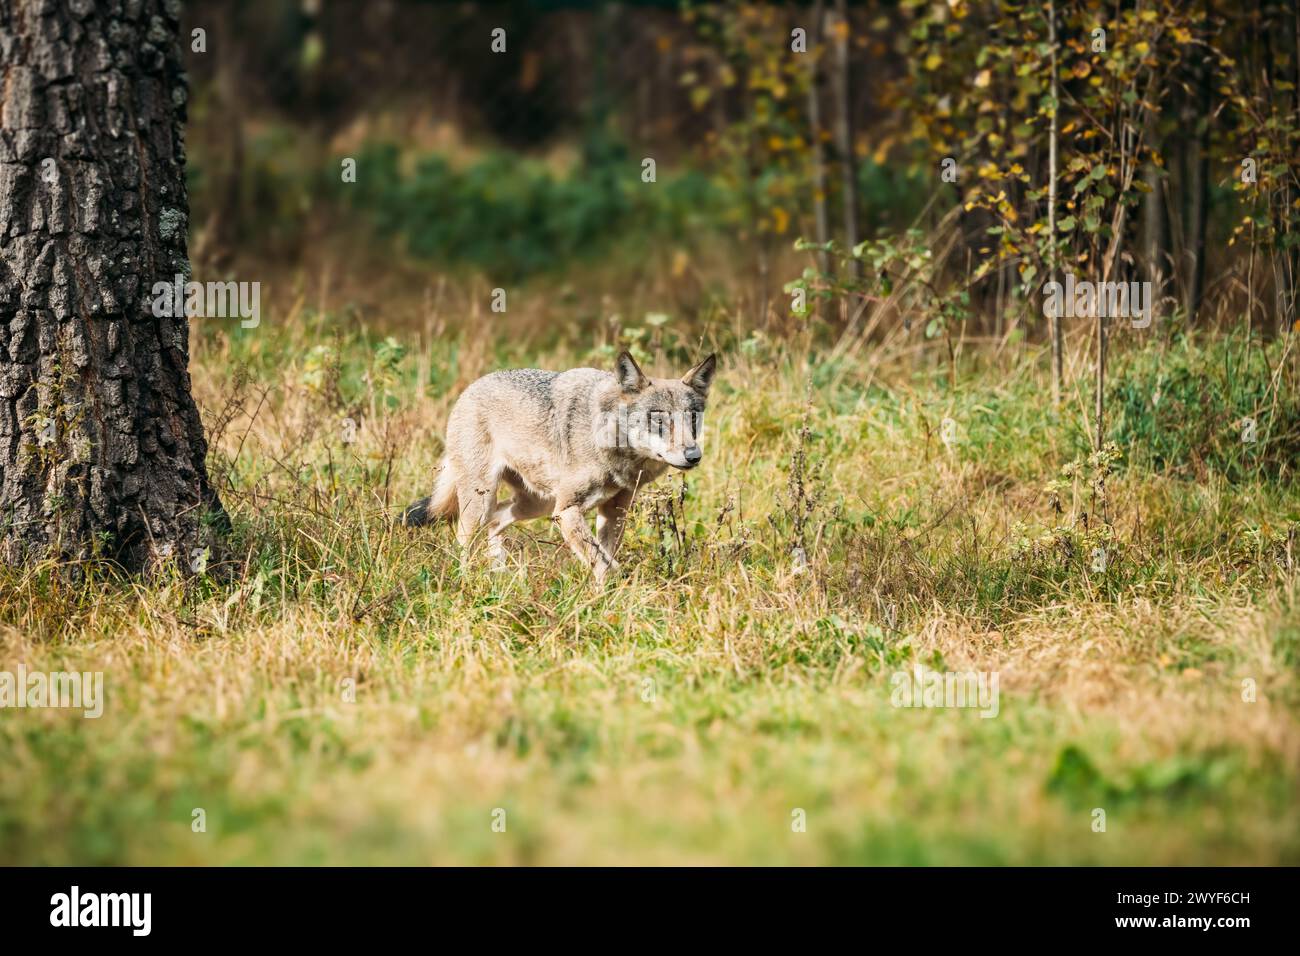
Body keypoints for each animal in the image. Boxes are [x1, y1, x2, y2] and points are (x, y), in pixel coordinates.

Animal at [402, 351, 717, 583]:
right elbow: (602, 562)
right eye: (659, 420)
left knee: (496, 522)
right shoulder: (566, 511)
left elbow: (603, 557)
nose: (693, 455)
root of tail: (471, 386)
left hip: (536, 505)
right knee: (463, 540)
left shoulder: (614, 511)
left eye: (692, 418)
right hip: (484, 503)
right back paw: (468, 581)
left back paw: (499, 574)